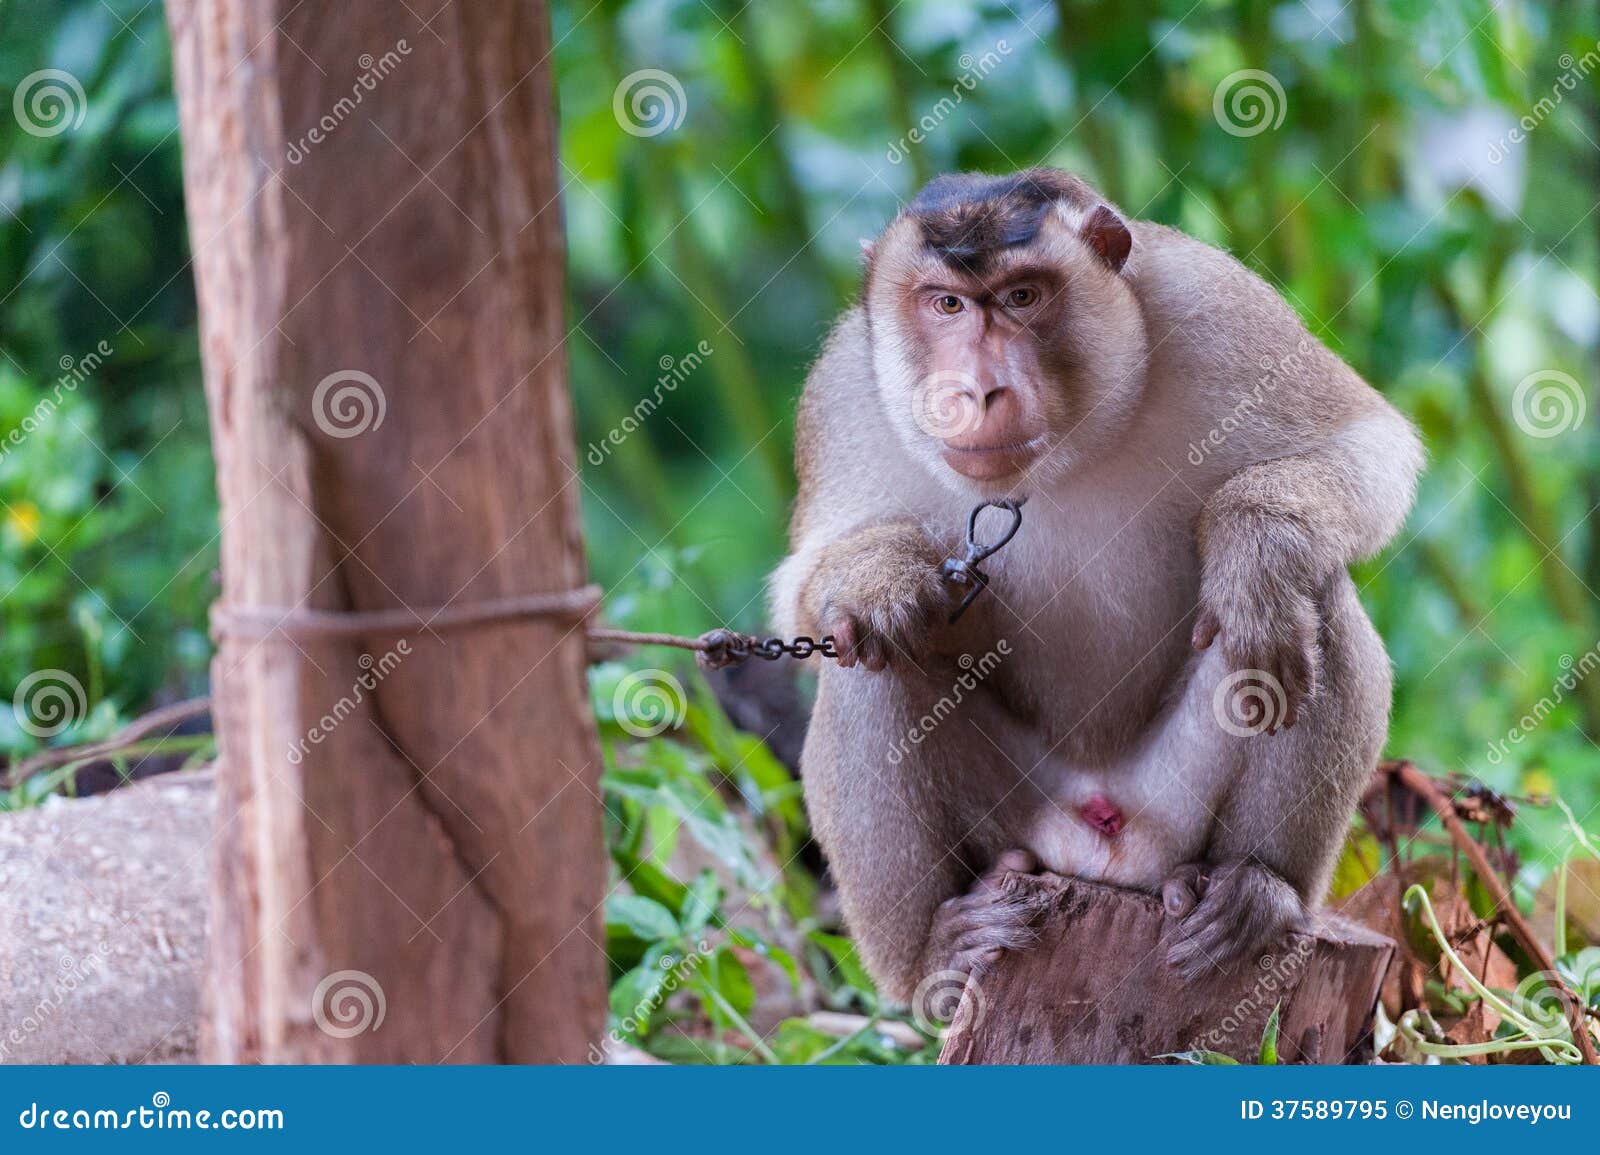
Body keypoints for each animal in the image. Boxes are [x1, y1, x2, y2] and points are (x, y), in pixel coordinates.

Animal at [770, 168, 1422, 1008]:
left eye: (1022, 296)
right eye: (945, 303)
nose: (979, 390)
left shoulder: (1211, 301)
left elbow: (1369, 446)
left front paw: (1251, 544)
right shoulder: (845, 391)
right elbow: (804, 591)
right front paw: (881, 576)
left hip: (1174, 814)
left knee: (1307, 602)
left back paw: (1256, 891)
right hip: (1014, 825)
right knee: (867, 658)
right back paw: (932, 954)